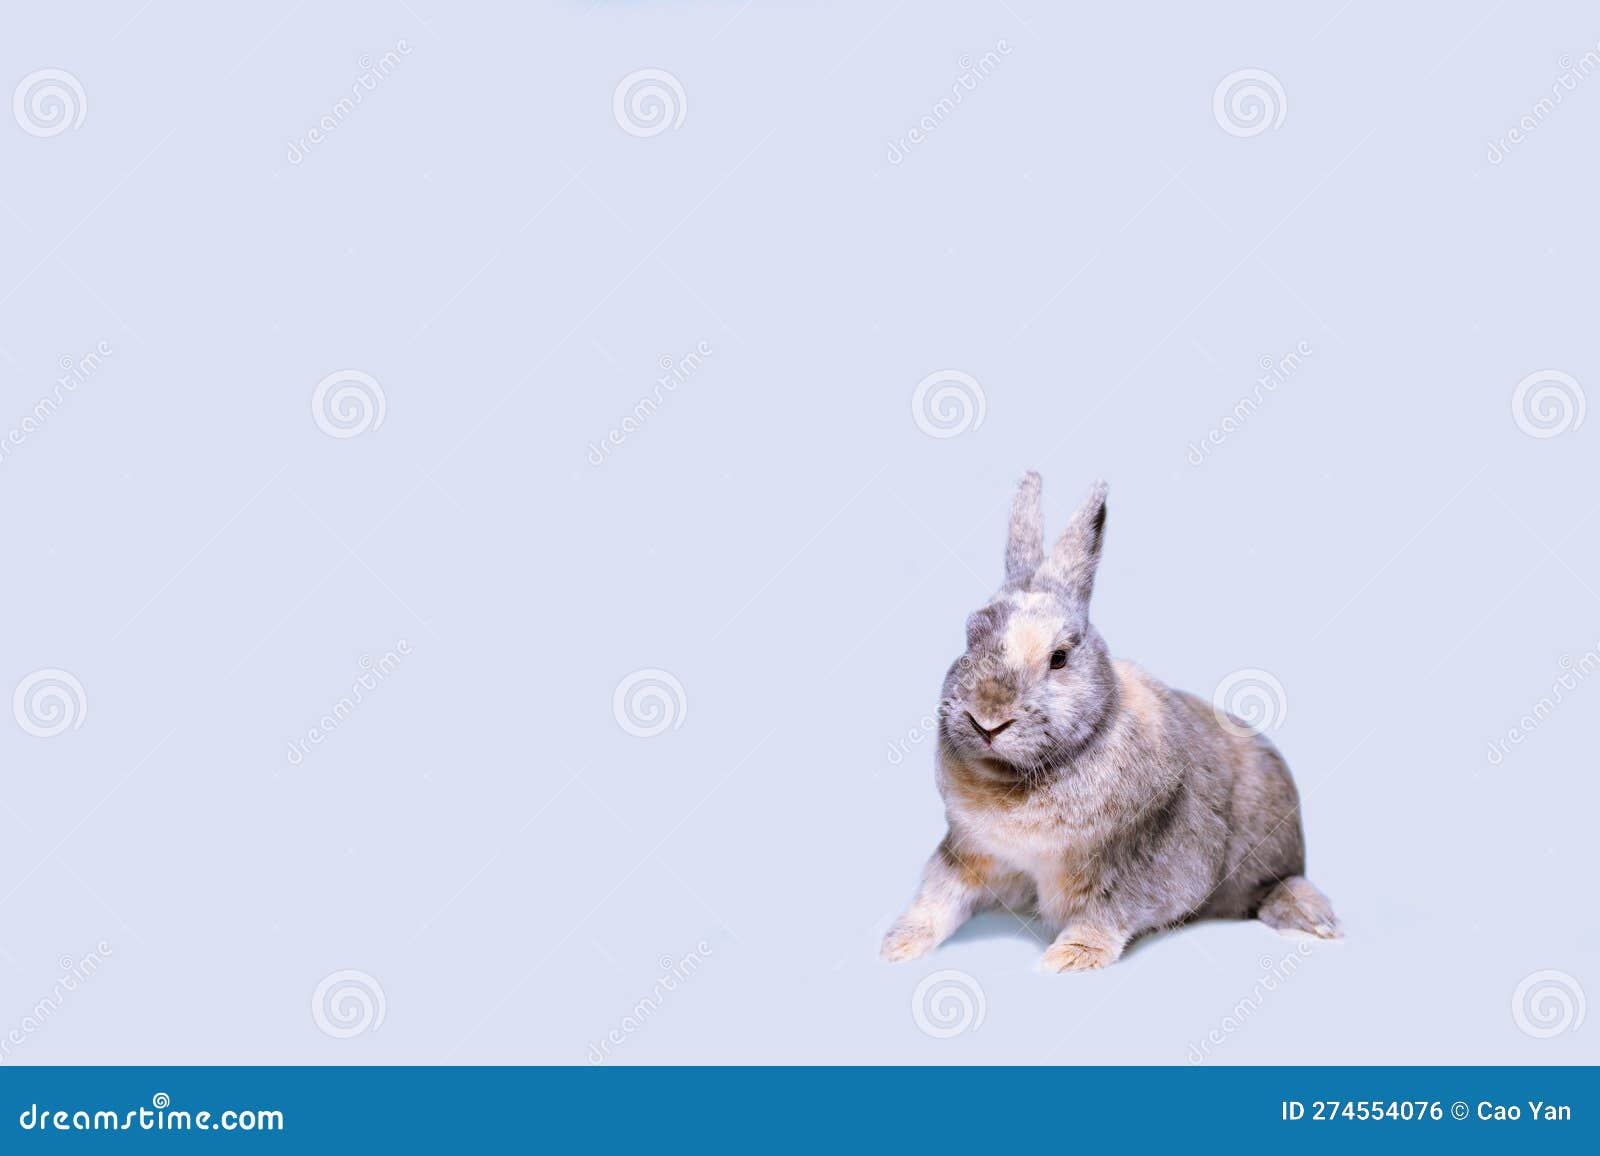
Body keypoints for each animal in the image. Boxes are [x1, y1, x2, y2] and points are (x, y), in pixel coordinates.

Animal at [881, 473, 1339, 972]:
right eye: (970, 636)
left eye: (1059, 658)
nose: (987, 720)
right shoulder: (969, 853)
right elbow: (937, 896)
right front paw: (898, 946)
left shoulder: (1143, 866)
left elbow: (1109, 911)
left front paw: (1069, 959)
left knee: (1275, 885)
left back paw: (1314, 921)